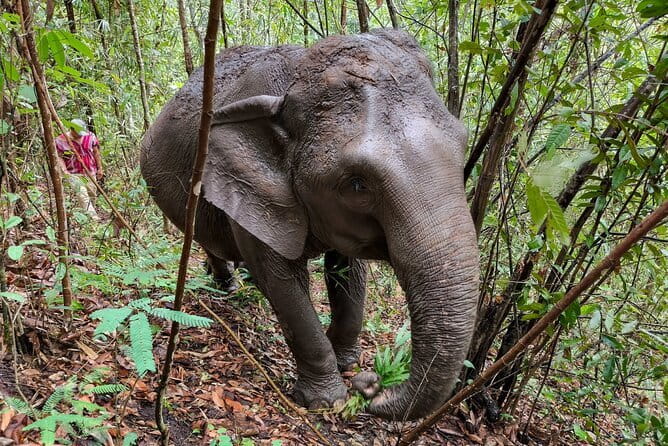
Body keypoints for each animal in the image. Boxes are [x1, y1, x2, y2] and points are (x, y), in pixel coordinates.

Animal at [140, 29, 479, 421]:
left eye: (463, 144)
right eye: (357, 184)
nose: (372, 386)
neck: (292, 82)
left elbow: (349, 271)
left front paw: (347, 364)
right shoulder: (248, 189)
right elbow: (283, 283)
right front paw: (325, 401)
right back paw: (228, 286)